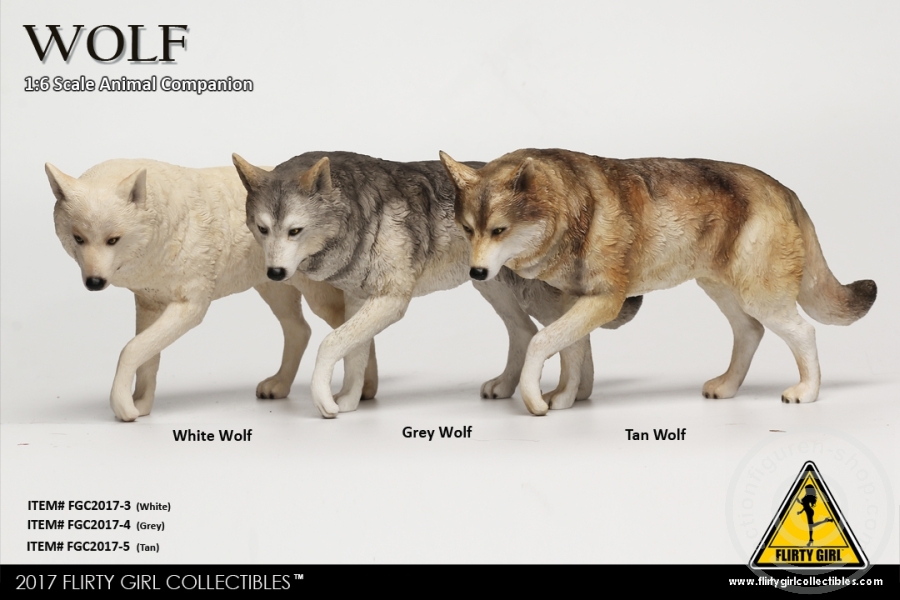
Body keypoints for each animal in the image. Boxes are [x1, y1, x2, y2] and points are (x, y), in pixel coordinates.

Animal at [46, 159, 377, 421]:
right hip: (274, 291)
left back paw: (364, 390)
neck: (164, 227)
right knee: (300, 330)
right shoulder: (149, 304)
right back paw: (281, 385)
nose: (94, 283)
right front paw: (141, 405)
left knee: (352, 330)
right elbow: (147, 360)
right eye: (78, 238)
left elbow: (131, 350)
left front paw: (123, 407)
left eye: (112, 240)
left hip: (320, 300)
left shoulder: (190, 308)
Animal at [232, 151, 643, 418]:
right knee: (528, 334)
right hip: (491, 288)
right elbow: (355, 356)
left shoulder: (391, 301)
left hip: (527, 295)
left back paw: (567, 397)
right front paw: (348, 400)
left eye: (295, 231)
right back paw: (547, 391)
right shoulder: (358, 301)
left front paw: (325, 402)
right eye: (262, 229)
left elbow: (330, 344)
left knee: (569, 336)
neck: (357, 215)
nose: (274, 274)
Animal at [440, 149, 877, 415]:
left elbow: (540, 343)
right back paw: (727, 387)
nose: (476, 273)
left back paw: (807, 391)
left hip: (761, 297)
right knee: (750, 332)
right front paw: (564, 398)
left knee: (803, 331)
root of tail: (783, 188)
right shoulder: (572, 302)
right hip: (722, 290)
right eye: (468, 230)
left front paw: (535, 400)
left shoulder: (603, 301)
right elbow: (572, 353)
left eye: (499, 230)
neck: (575, 209)